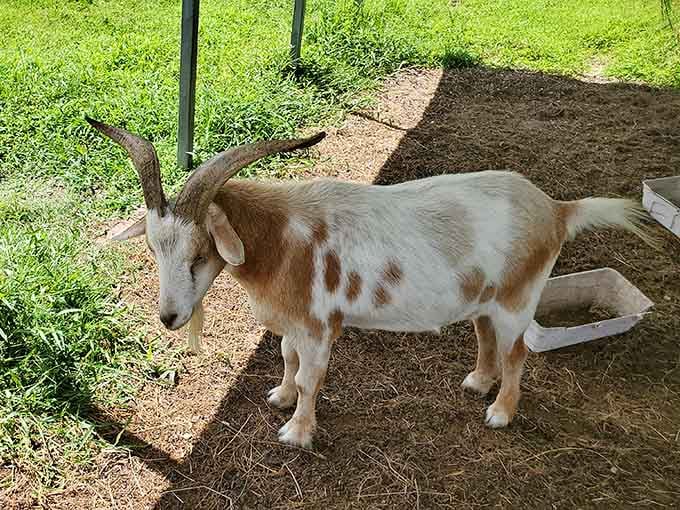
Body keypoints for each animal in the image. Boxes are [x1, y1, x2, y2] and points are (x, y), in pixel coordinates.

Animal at [87, 117, 649, 448]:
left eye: (201, 253)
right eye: (153, 248)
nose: (169, 317)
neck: (282, 236)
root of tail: (557, 209)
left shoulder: (319, 325)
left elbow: (311, 377)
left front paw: (296, 432)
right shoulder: (292, 323)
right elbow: (287, 359)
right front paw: (280, 396)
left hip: (518, 300)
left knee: (517, 353)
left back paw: (500, 412)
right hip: (486, 300)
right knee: (486, 337)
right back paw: (476, 383)